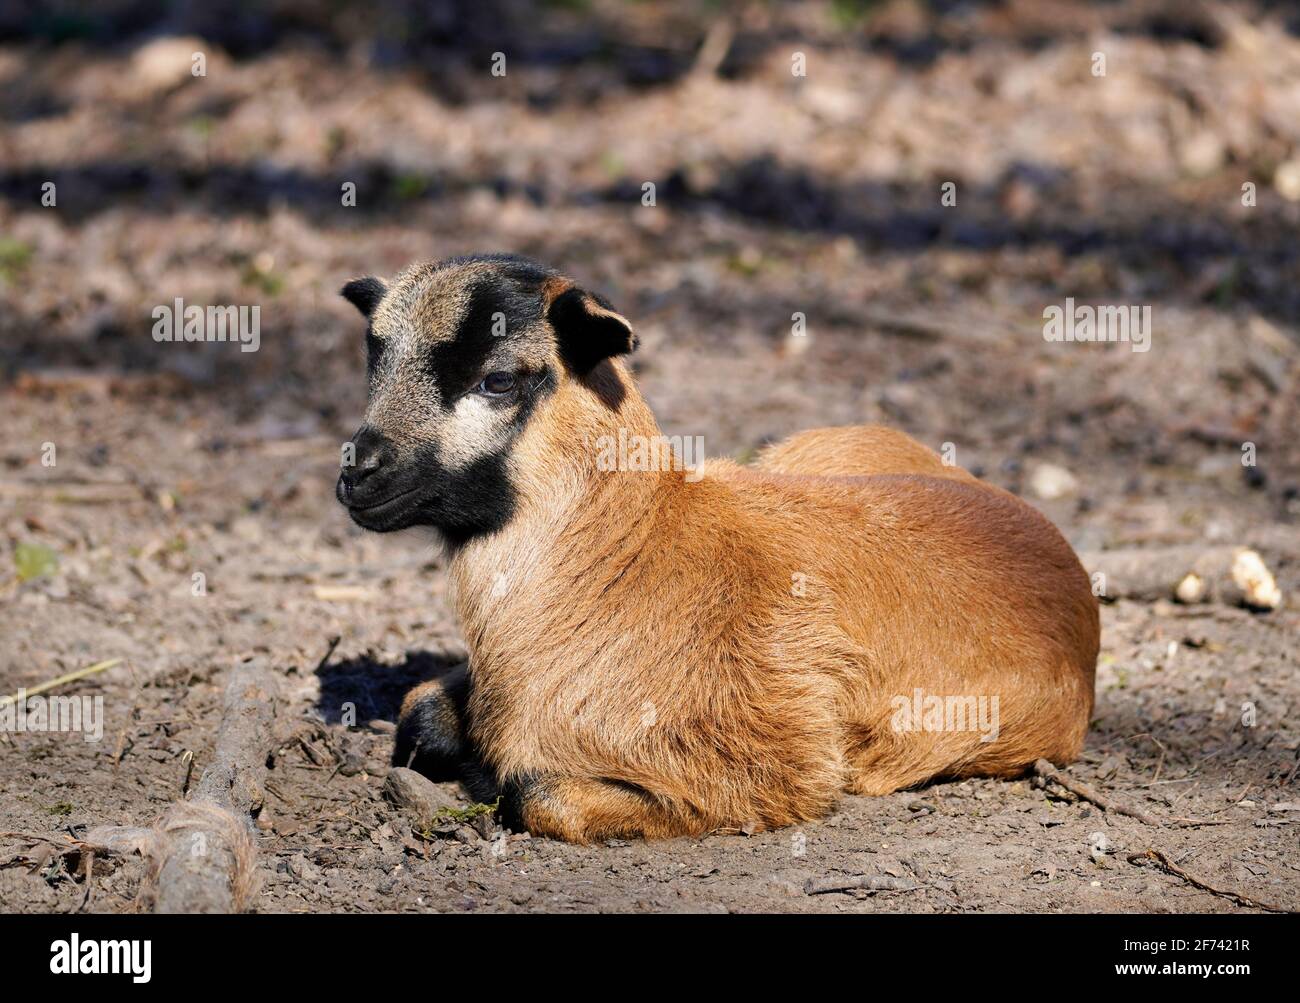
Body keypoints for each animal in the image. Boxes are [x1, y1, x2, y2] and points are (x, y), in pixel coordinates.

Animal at [336, 253, 1100, 843]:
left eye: (497, 379)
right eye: (375, 364)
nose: (357, 473)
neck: (626, 553)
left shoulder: (776, 760)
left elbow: (540, 794)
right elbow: (419, 711)